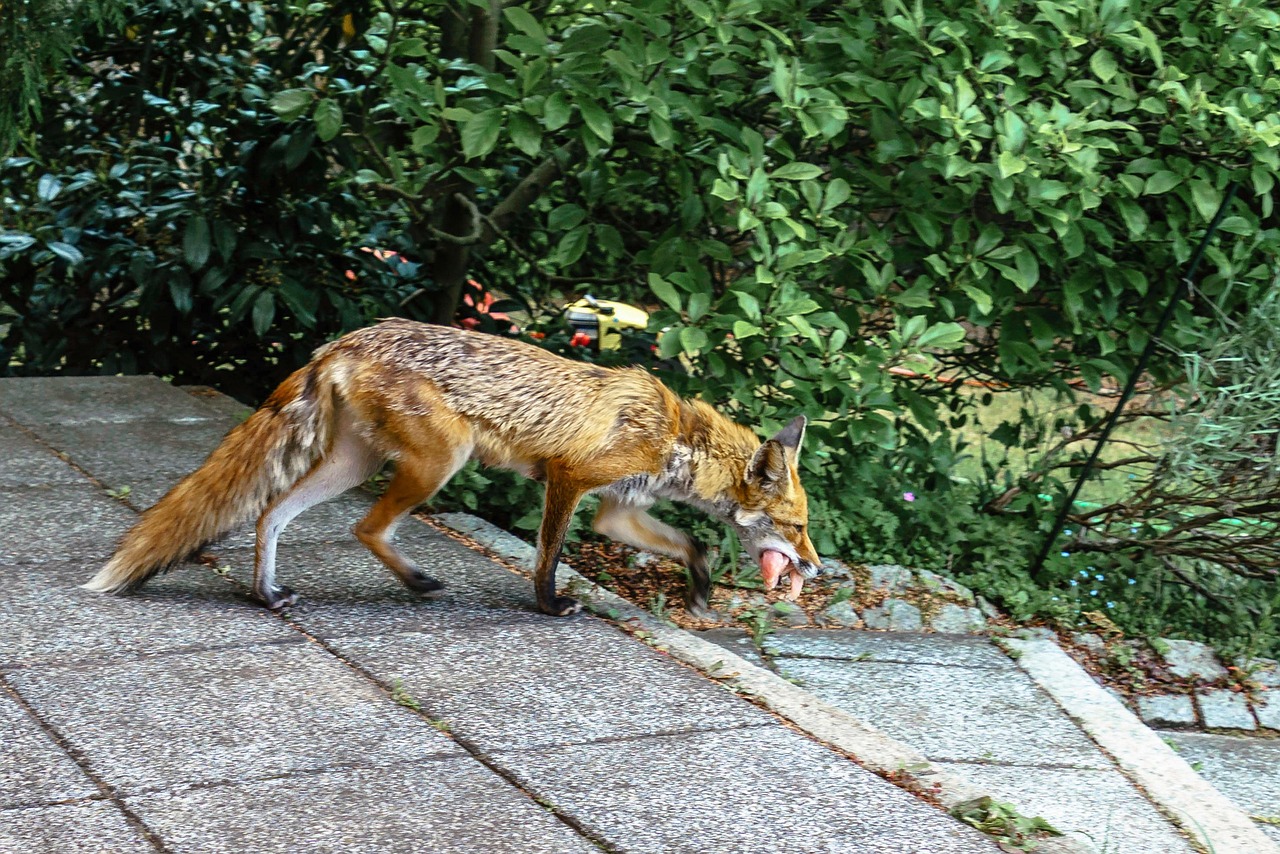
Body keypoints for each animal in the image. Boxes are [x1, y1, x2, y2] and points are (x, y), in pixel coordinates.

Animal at [84, 318, 821, 616]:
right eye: (797, 525)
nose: (817, 570)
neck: (676, 436)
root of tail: (344, 340)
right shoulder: (569, 478)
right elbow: (549, 556)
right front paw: (549, 607)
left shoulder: (618, 509)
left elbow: (693, 541)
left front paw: (698, 591)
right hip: (441, 460)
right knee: (365, 528)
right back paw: (412, 581)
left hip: (355, 464)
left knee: (272, 513)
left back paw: (270, 594)